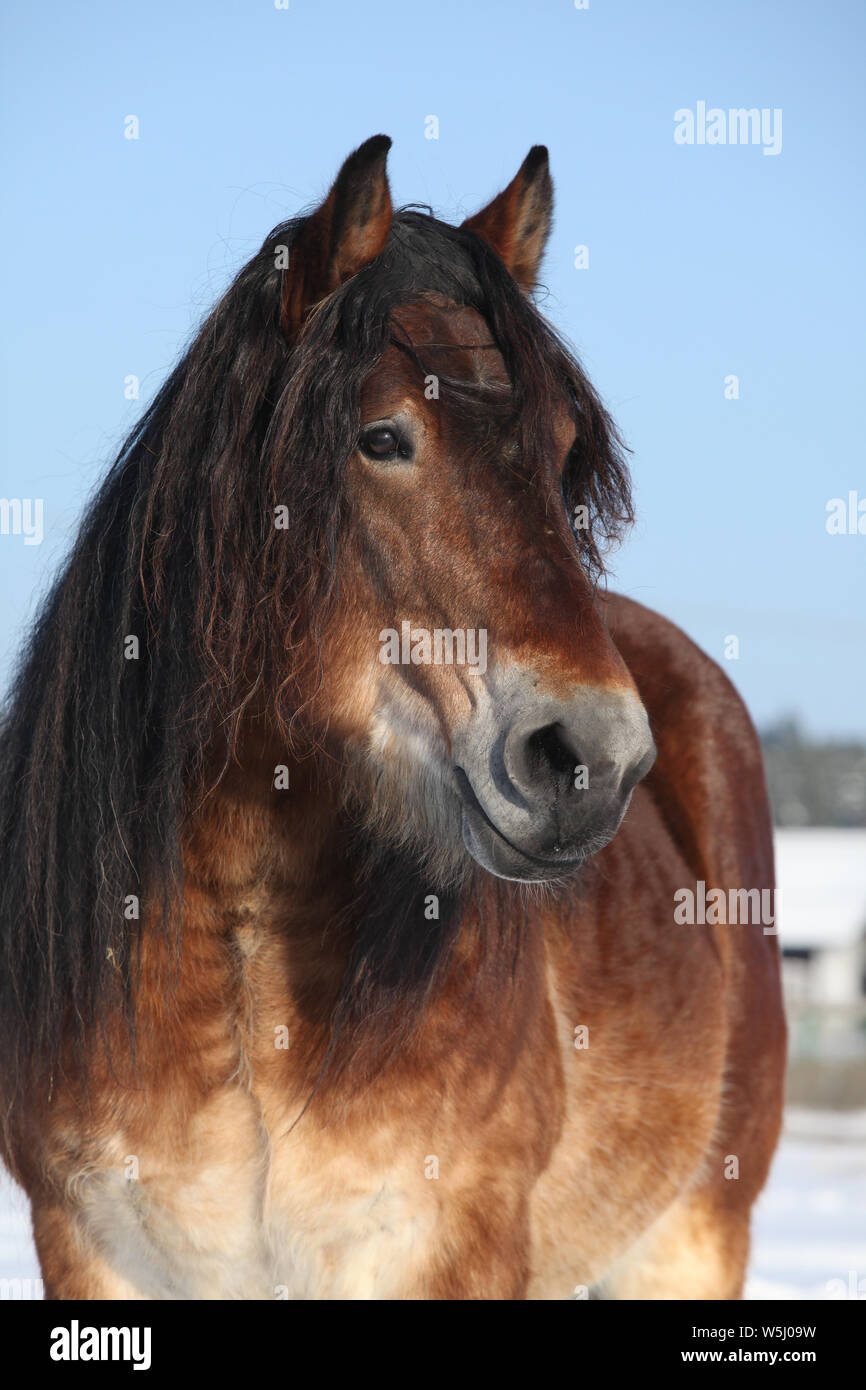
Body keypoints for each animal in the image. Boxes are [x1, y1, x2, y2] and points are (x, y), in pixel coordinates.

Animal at [0, 136, 786, 1300]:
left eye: (563, 453)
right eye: (381, 437)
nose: (593, 758)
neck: (242, 961)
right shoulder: (91, 1250)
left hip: (691, 1238)